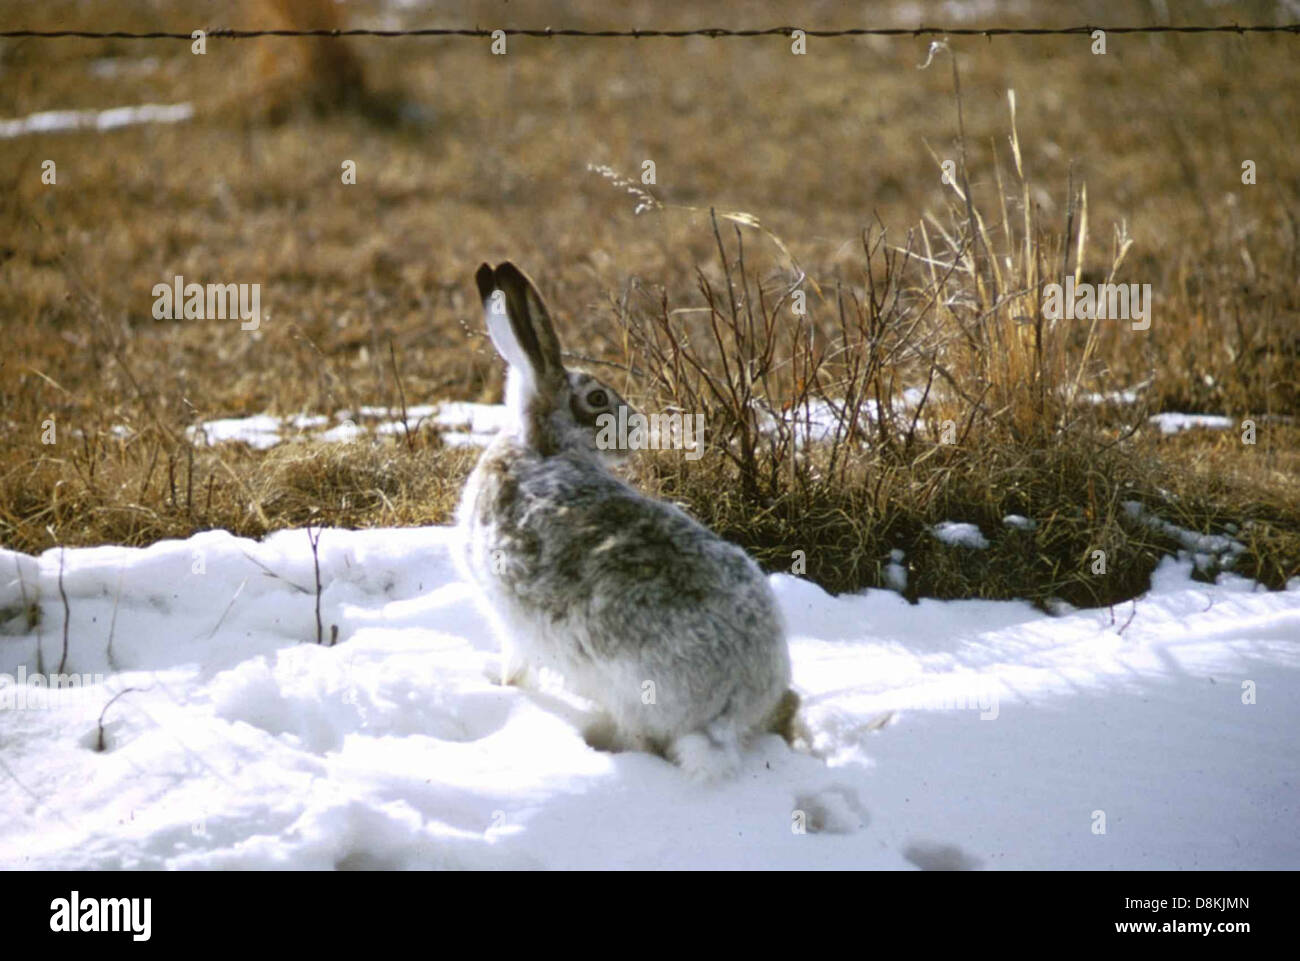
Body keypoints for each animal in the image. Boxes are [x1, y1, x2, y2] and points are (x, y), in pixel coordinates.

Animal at [455, 261, 798, 779]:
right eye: (598, 398)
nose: (635, 431)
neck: (544, 446)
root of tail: (735, 699)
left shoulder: (508, 617)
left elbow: (516, 662)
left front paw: (504, 686)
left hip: (631, 693)